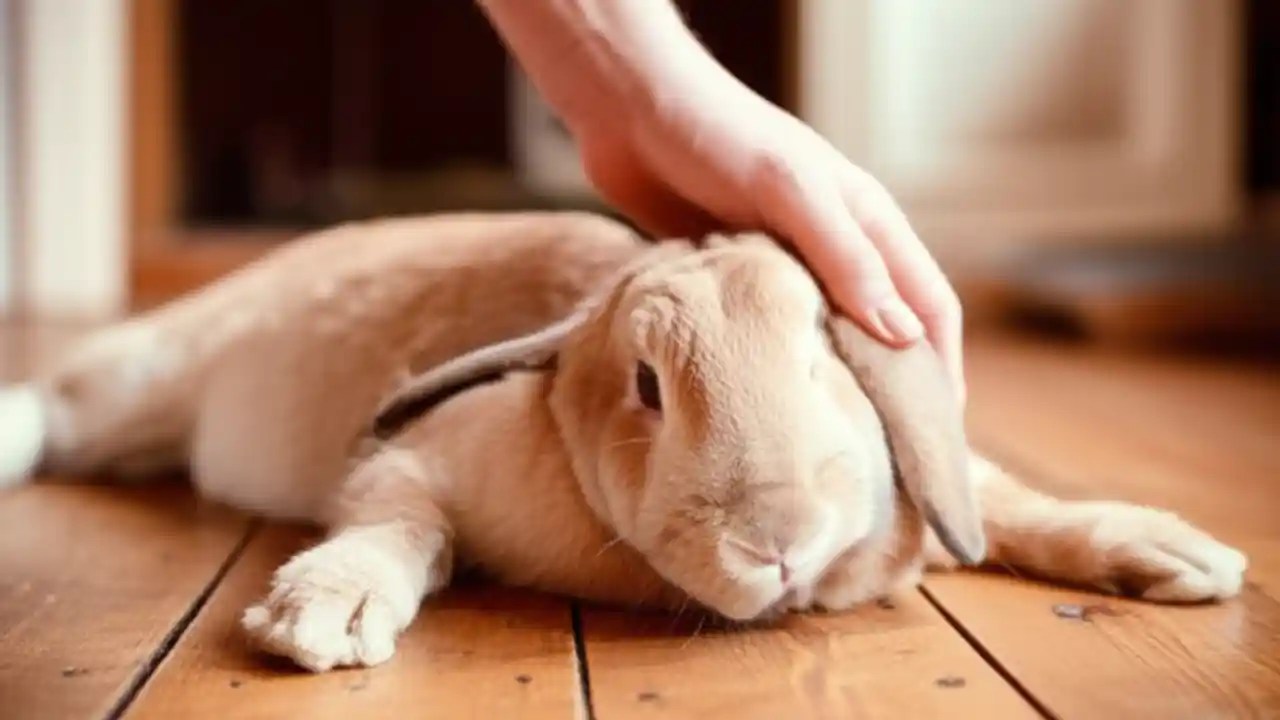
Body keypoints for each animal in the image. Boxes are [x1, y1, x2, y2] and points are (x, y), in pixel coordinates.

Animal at [0, 211, 1247, 673]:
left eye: (823, 356)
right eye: (646, 385)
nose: (777, 539)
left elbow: (1014, 502)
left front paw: (1181, 558)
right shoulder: (406, 466)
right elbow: (396, 528)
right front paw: (325, 617)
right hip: (139, 383)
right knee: (56, 405)